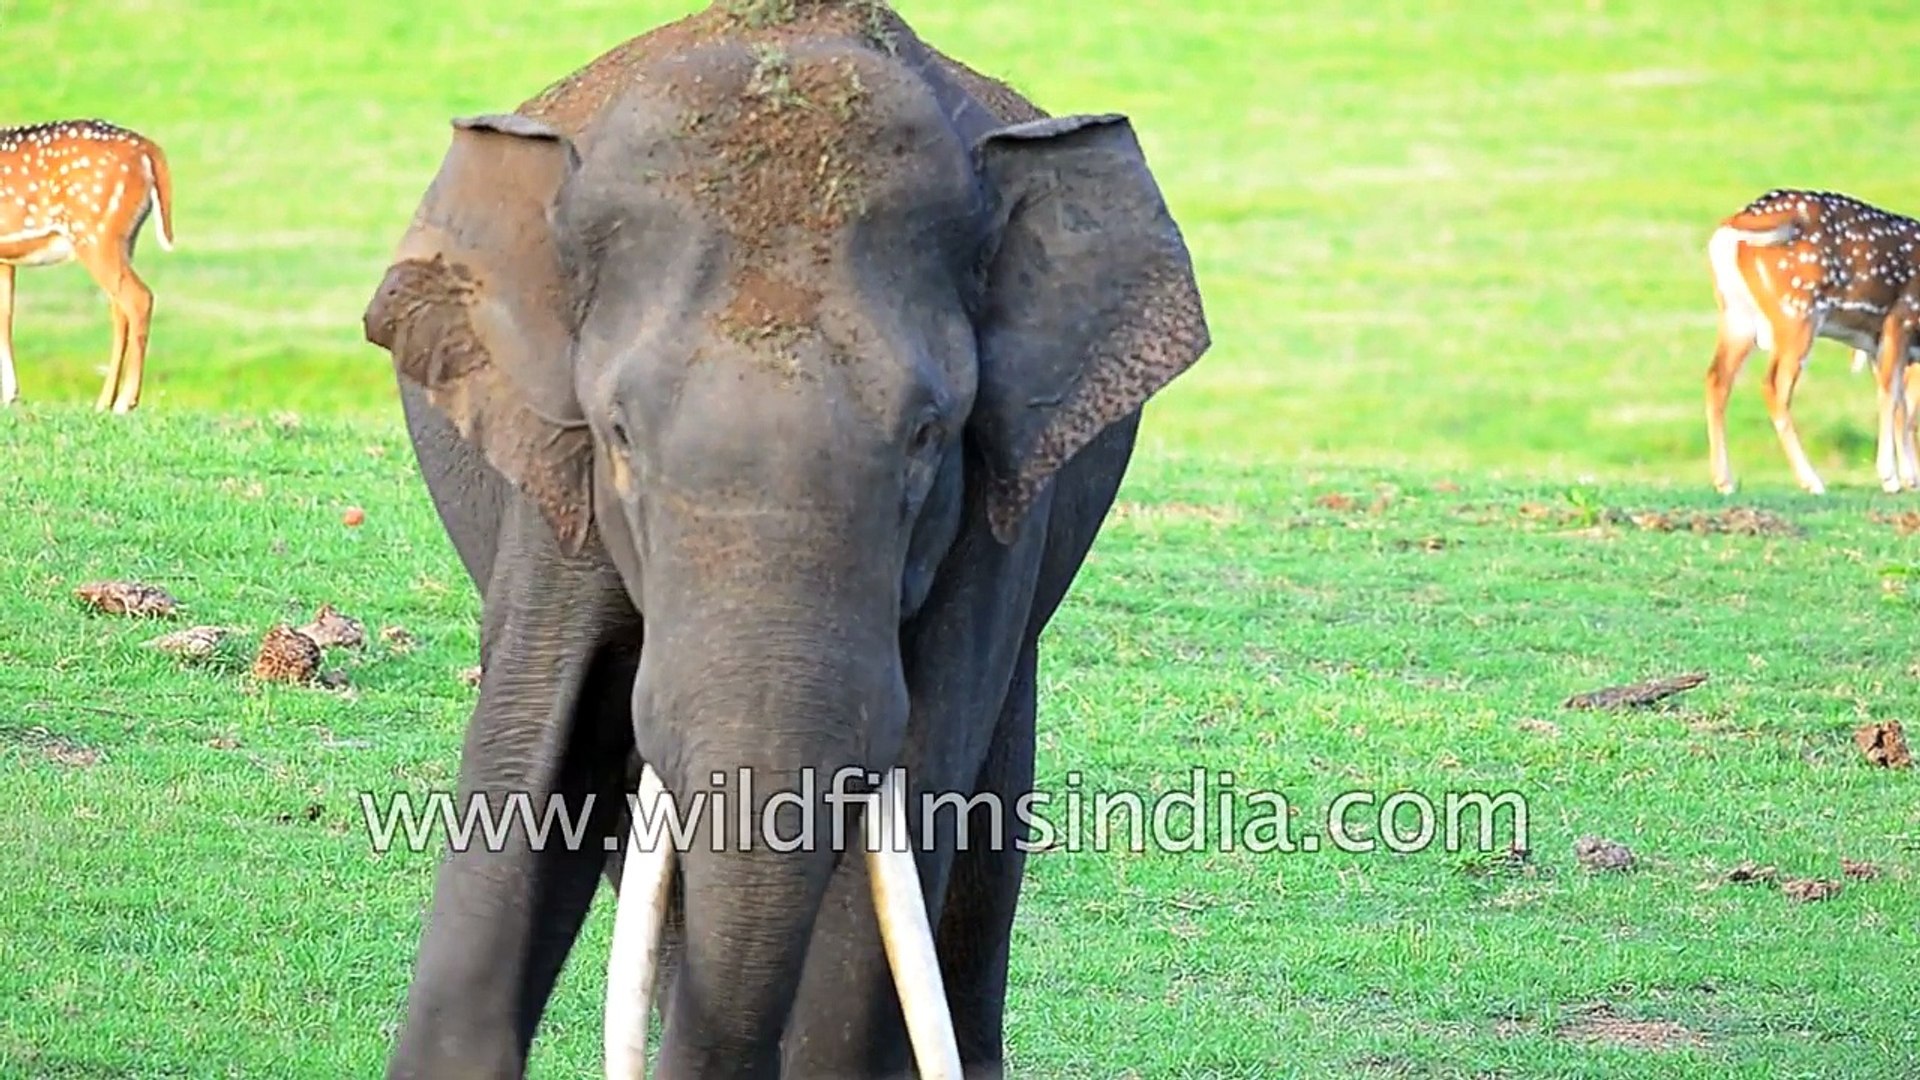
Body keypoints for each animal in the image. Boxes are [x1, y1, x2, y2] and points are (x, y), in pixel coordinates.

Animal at [359, 2, 1210, 1077]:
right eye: (620, 433)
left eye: (927, 434)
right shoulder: (553, 486)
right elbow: (533, 754)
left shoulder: (994, 507)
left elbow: (917, 791)